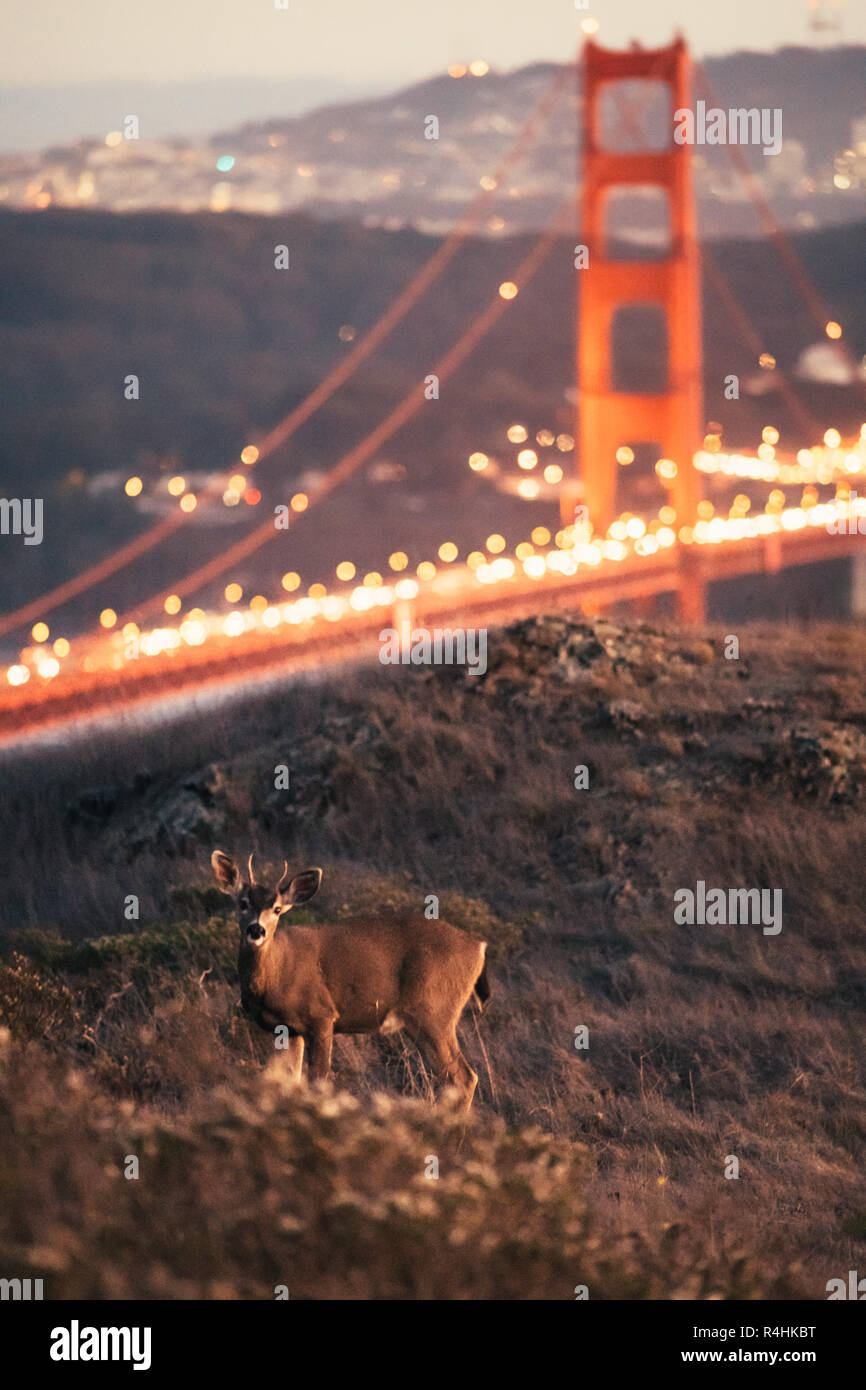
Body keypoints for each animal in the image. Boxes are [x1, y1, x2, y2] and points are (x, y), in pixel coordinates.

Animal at [211, 850, 490, 1110]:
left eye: (277, 909)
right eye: (243, 903)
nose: (256, 929)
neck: (276, 972)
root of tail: (479, 947)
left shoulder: (322, 1016)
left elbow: (318, 1082)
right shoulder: (287, 1028)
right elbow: (288, 1082)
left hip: (434, 1012)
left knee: (463, 1077)